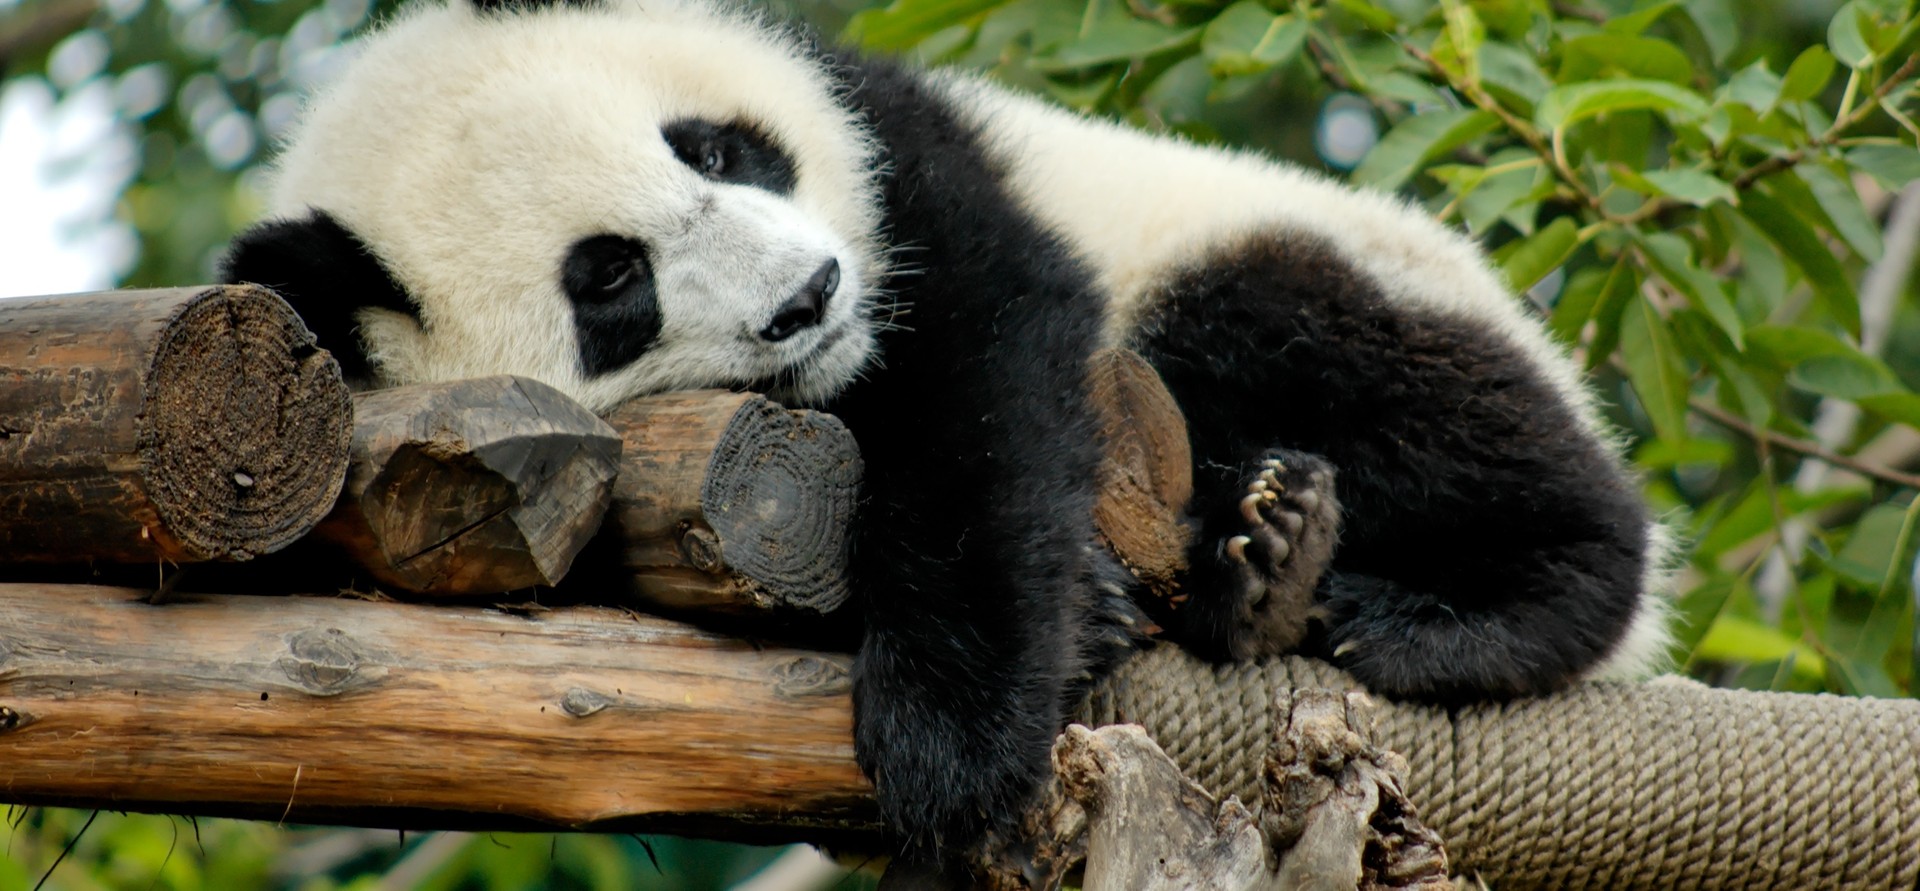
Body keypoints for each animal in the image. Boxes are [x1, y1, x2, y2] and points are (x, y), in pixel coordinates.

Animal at [221, 0, 1672, 873]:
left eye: (715, 148)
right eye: (611, 279)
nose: (810, 296)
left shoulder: (901, 159)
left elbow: (990, 375)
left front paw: (953, 734)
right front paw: (1076, 624)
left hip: (1290, 257)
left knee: (1347, 356)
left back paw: (1444, 604)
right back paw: (1261, 574)